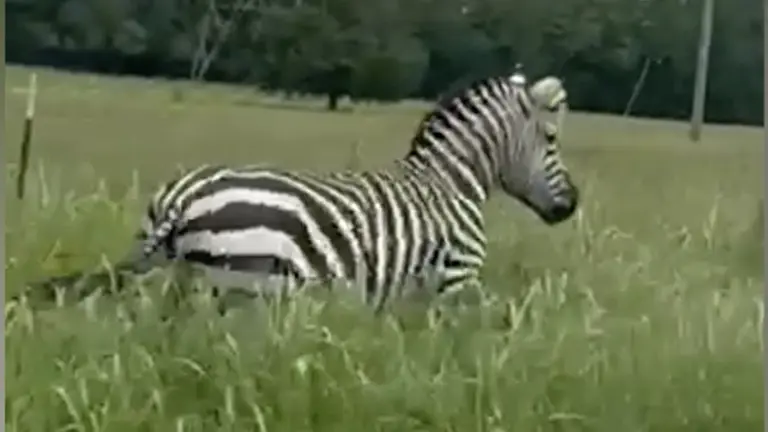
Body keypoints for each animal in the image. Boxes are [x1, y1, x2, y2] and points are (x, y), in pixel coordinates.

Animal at [22, 71, 579, 314]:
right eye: (551, 139)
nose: (572, 206)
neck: (451, 180)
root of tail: (182, 199)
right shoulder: (454, 281)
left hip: (179, 288)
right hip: (245, 291)